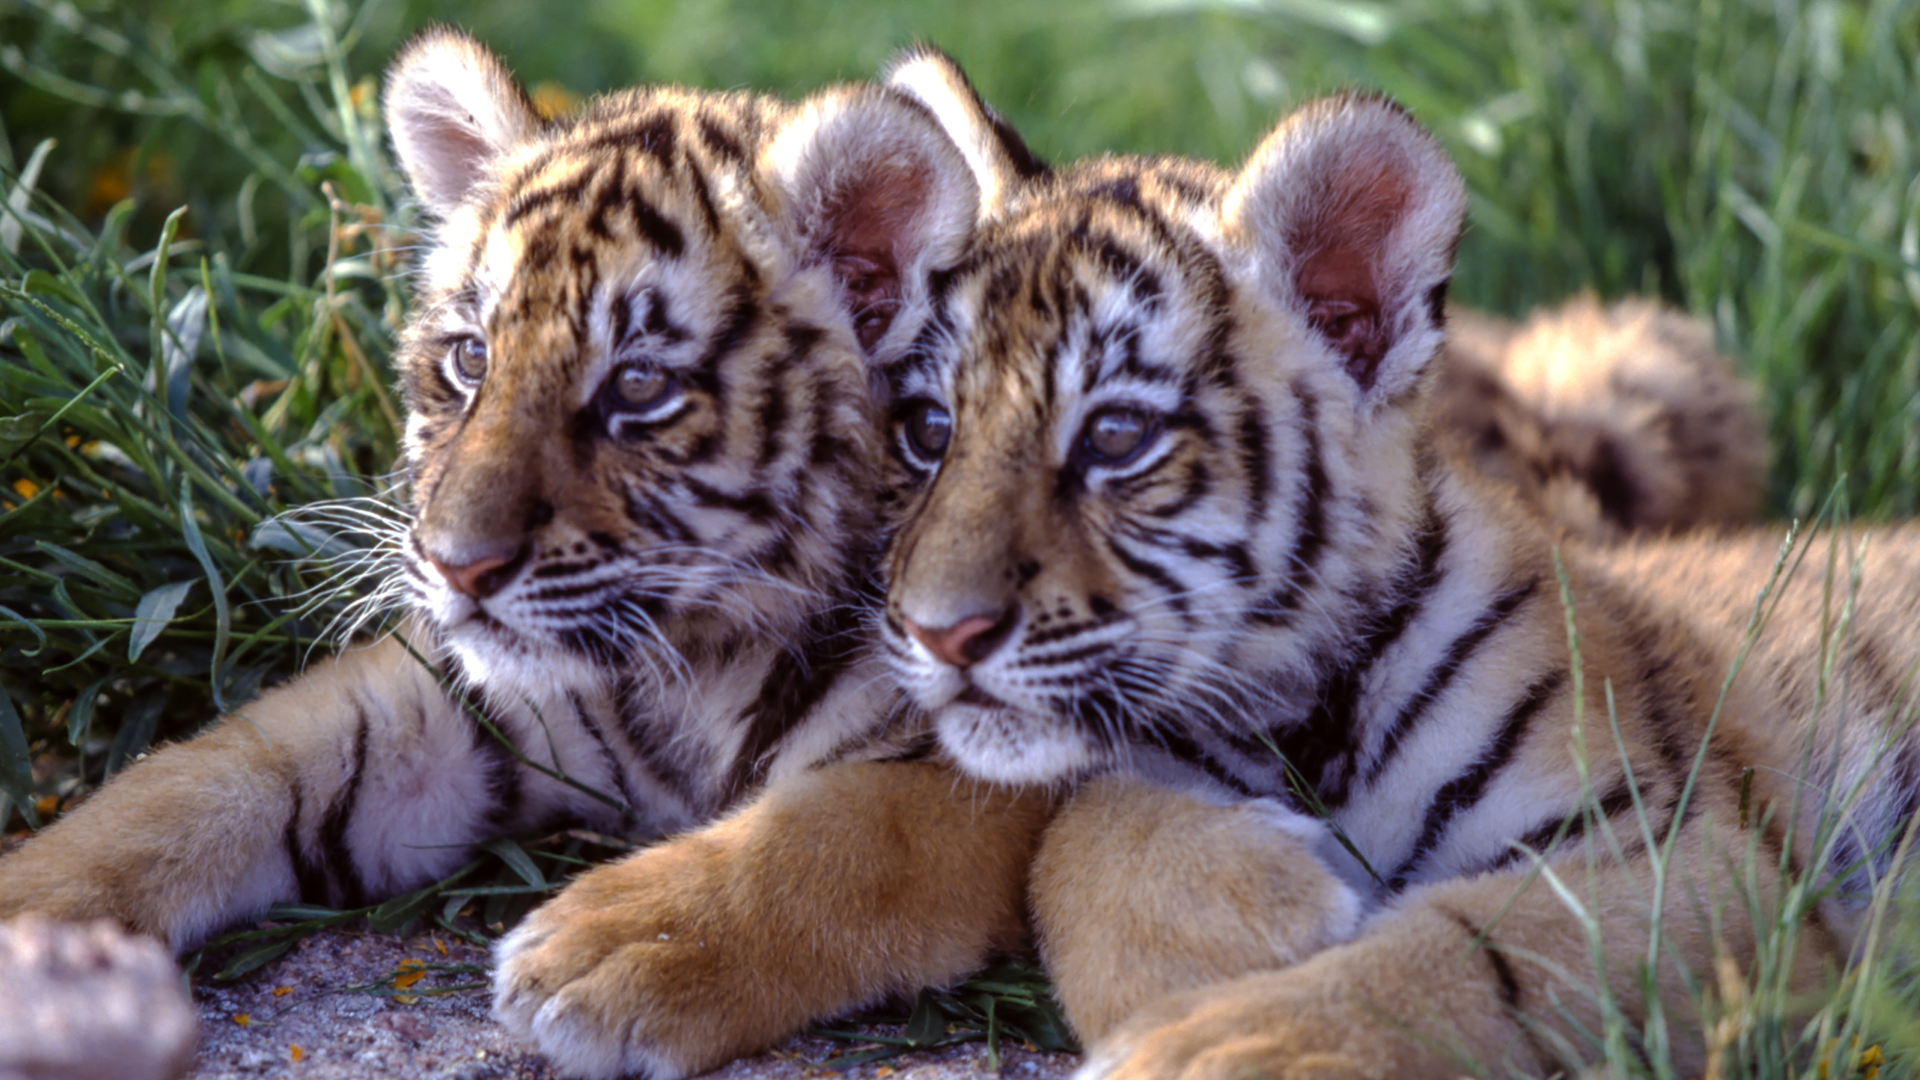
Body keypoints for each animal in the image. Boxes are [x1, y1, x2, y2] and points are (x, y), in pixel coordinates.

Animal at [482, 49, 1920, 1080]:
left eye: (1116, 437)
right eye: (929, 427)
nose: (938, 635)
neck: (1304, 718)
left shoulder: (1694, 857)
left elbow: (1484, 950)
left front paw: (1227, 1042)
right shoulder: (1123, 774)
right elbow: (1077, 849)